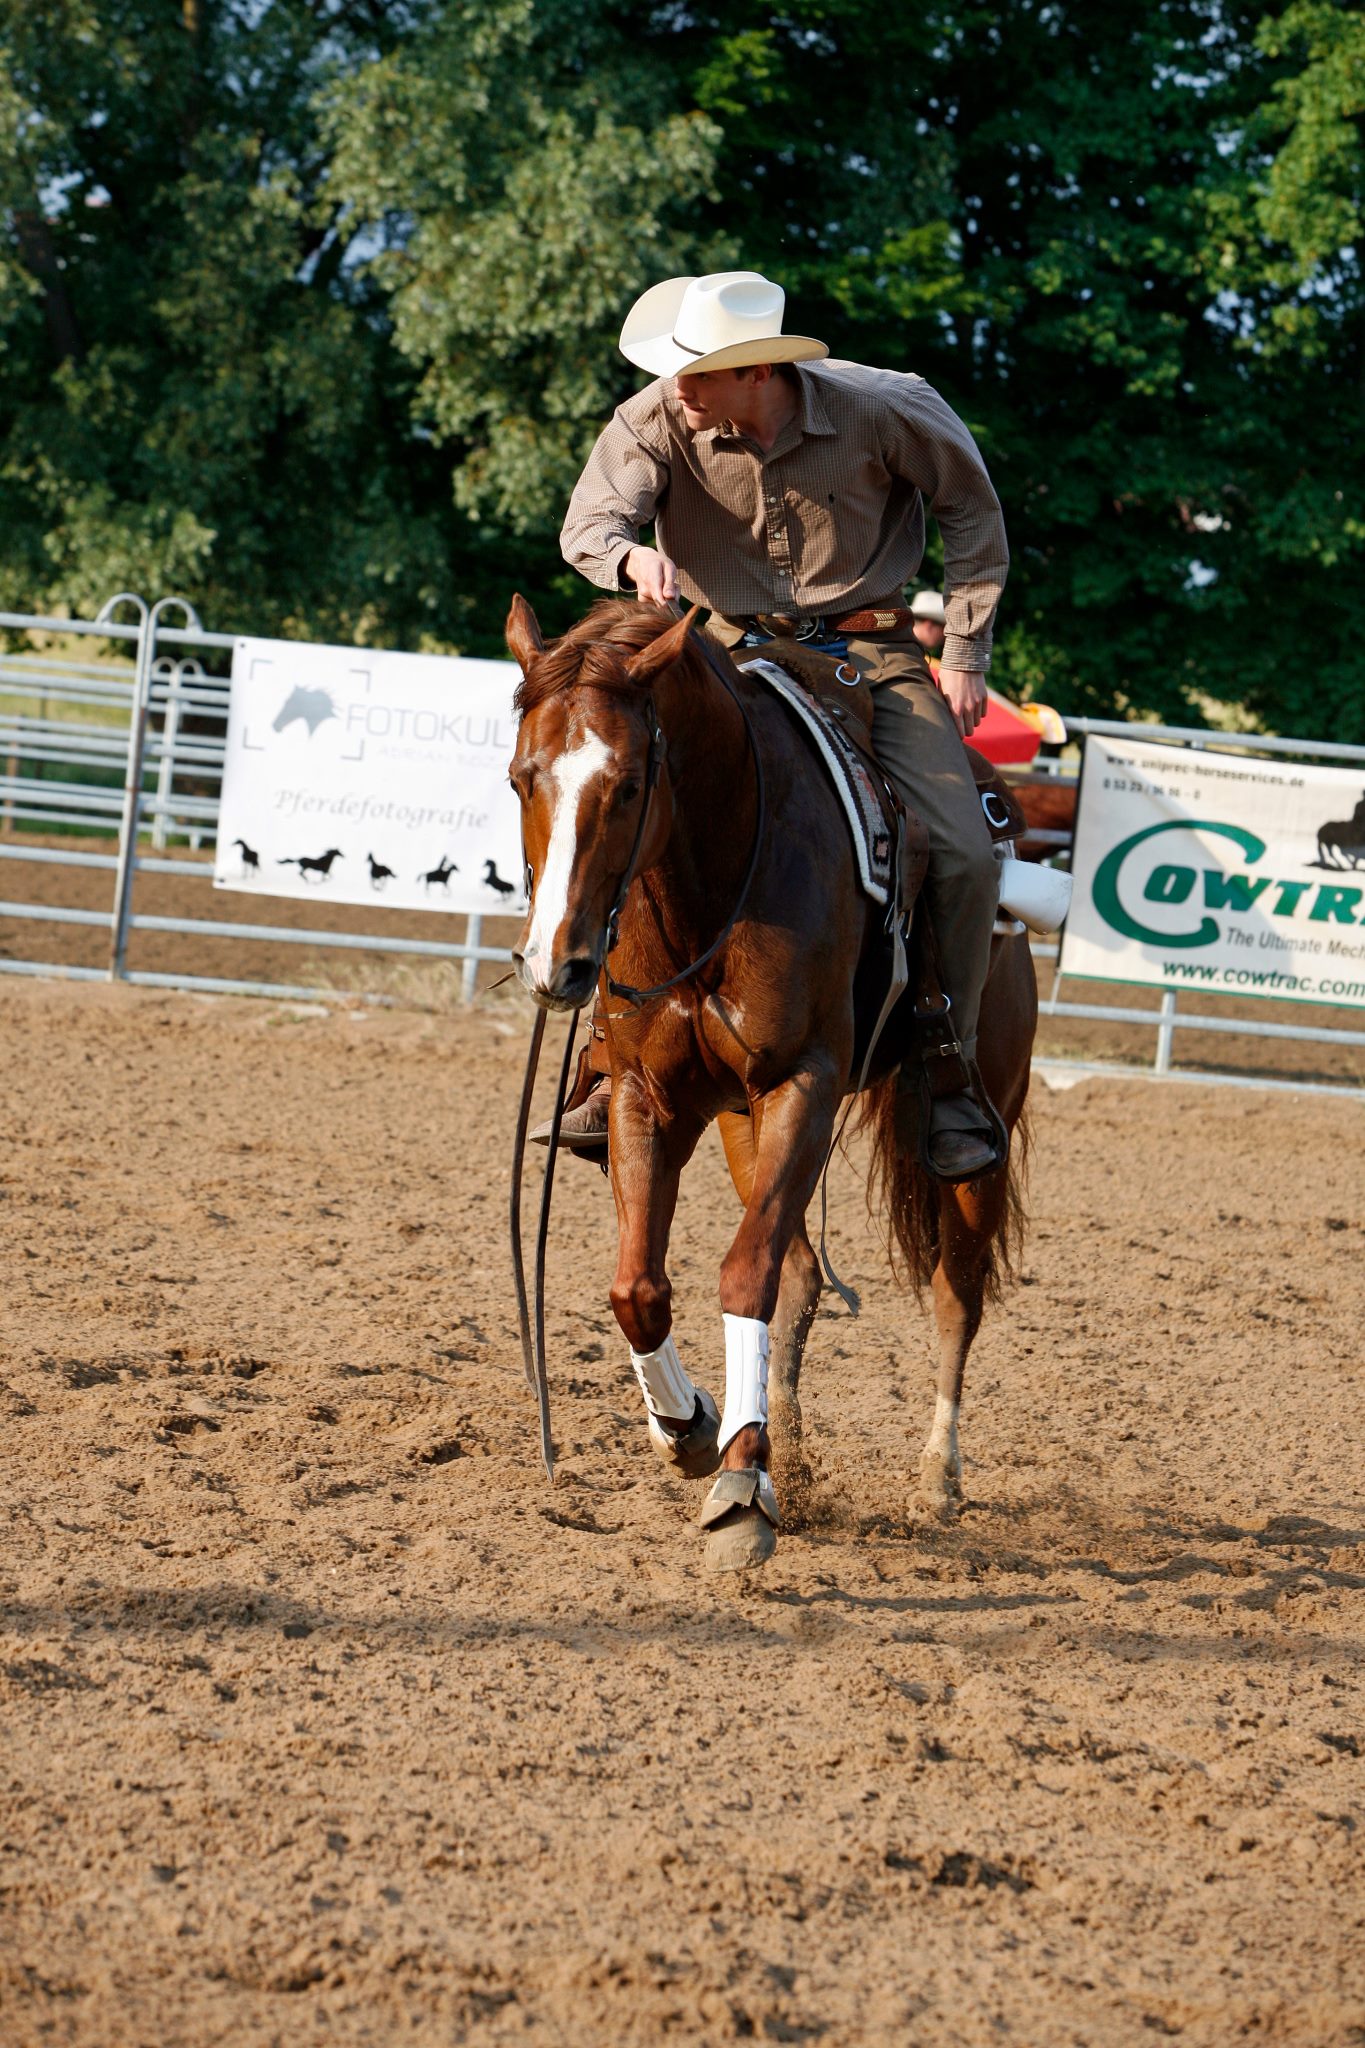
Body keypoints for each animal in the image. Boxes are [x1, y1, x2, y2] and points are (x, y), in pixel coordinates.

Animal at [506, 596, 1036, 1571]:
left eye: (630, 785)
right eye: (523, 778)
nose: (557, 964)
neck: (710, 884)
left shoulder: (803, 1086)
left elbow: (741, 1274)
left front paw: (741, 1494)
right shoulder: (649, 1097)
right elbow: (638, 1286)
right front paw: (692, 1430)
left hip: (979, 1127)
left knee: (956, 1294)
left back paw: (935, 1480)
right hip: (739, 1123)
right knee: (802, 1274)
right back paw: (779, 1443)